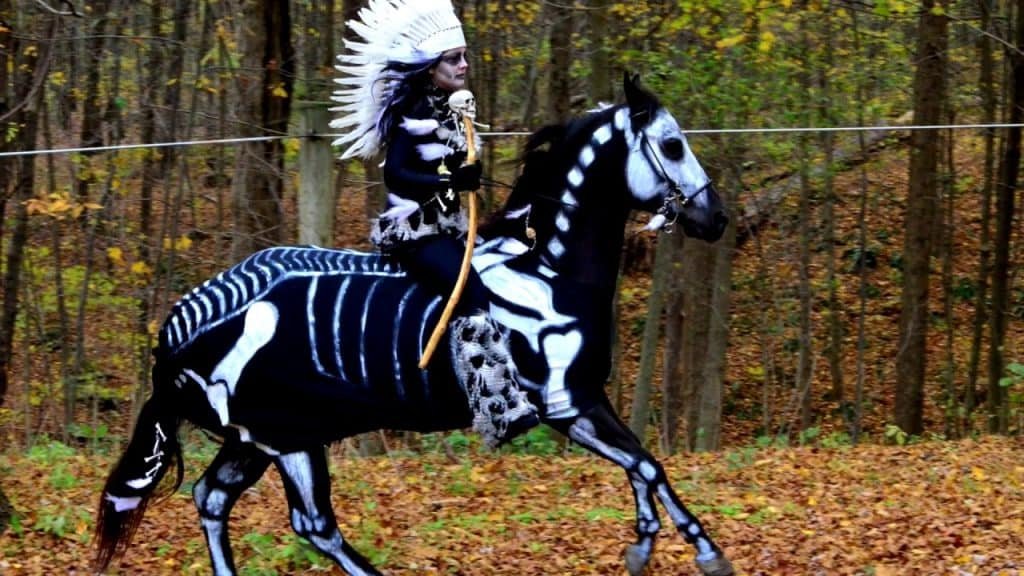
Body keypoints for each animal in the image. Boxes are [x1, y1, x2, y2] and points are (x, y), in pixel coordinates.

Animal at [94, 74, 734, 576]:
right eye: (673, 144)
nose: (716, 217)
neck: (549, 275)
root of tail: (178, 330)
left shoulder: (585, 402)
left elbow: (645, 467)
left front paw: (649, 544)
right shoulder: (567, 404)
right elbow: (645, 464)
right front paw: (695, 551)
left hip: (255, 441)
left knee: (213, 498)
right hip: (291, 439)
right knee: (313, 524)